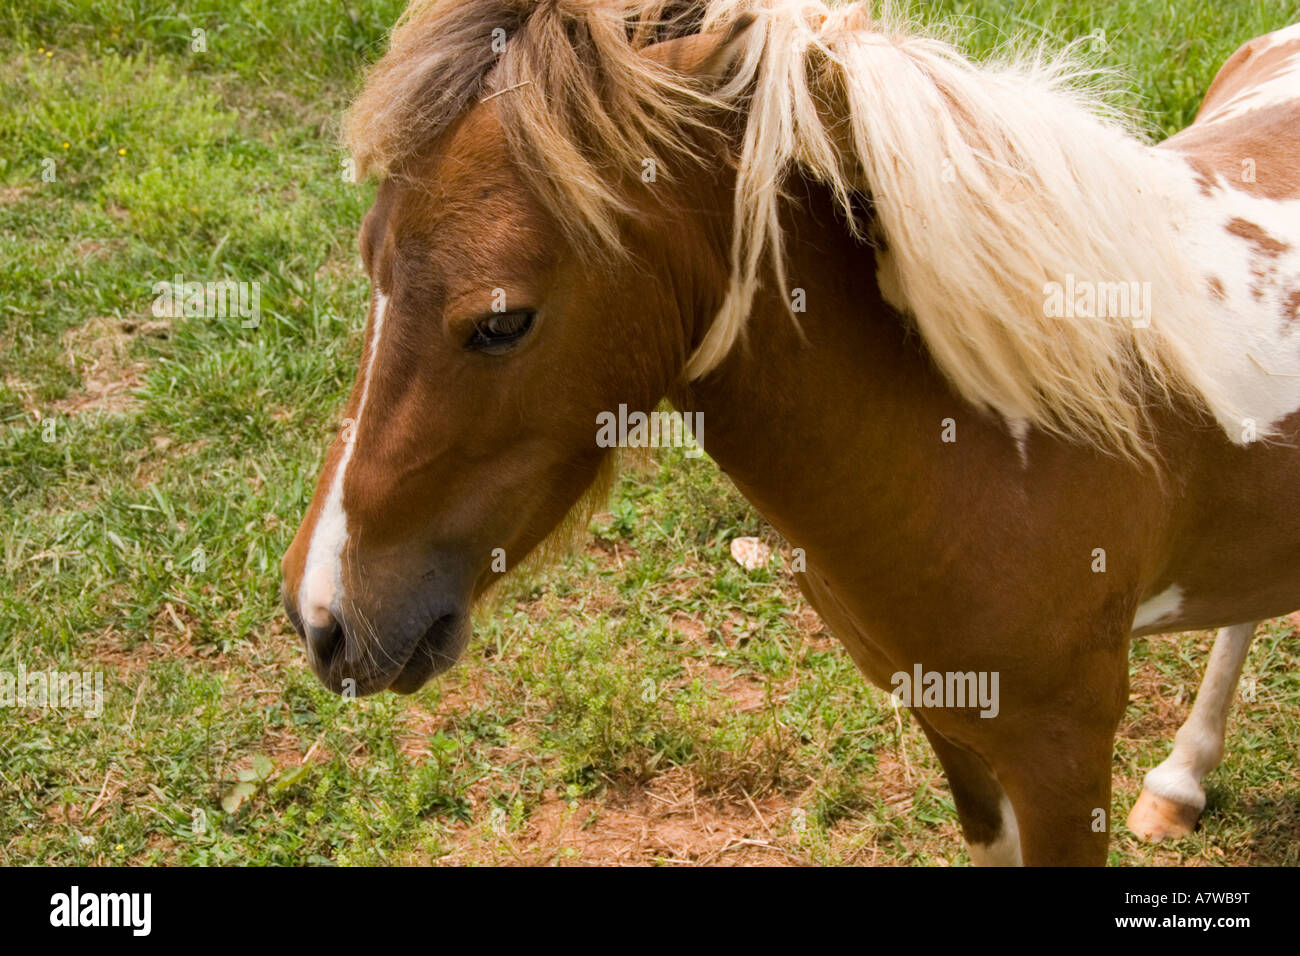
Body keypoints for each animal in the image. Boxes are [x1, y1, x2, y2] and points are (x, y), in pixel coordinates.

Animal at [280, 0, 1300, 865]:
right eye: (369, 261)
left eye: (501, 323)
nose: (321, 615)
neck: (999, 429)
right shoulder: (953, 725)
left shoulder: (1065, 754)